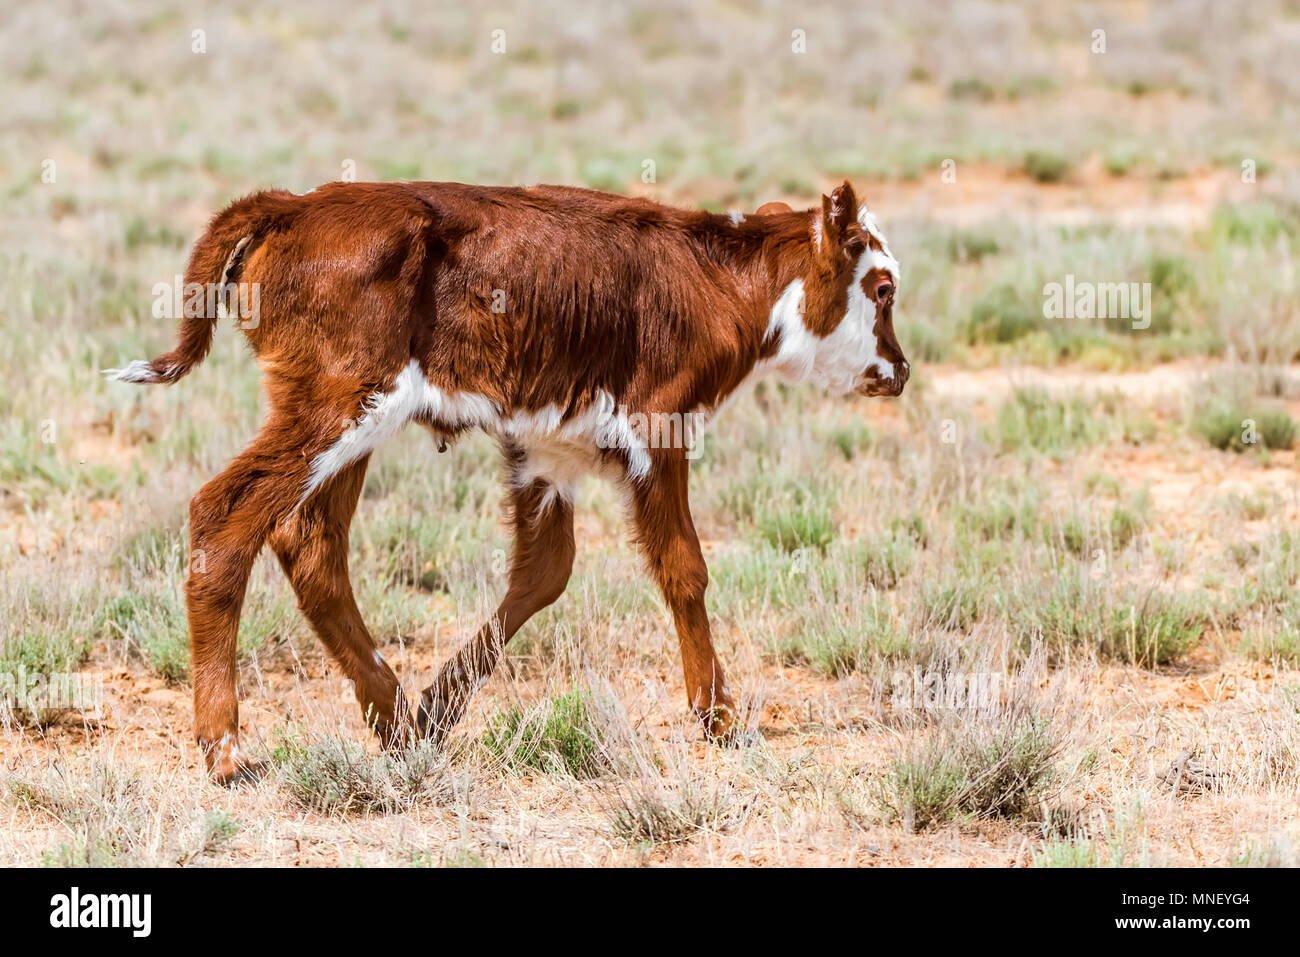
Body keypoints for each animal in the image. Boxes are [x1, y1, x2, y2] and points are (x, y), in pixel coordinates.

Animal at [107, 180, 907, 784]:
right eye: (882, 288)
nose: (900, 370)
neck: (715, 277)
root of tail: (293, 205)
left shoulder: (545, 450)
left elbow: (543, 574)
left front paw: (436, 708)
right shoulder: (660, 432)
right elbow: (684, 568)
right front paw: (719, 715)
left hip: (349, 423)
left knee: (311, 543)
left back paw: (394, 719)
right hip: (335, 408)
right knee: (226, 517)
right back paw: (225, 748)